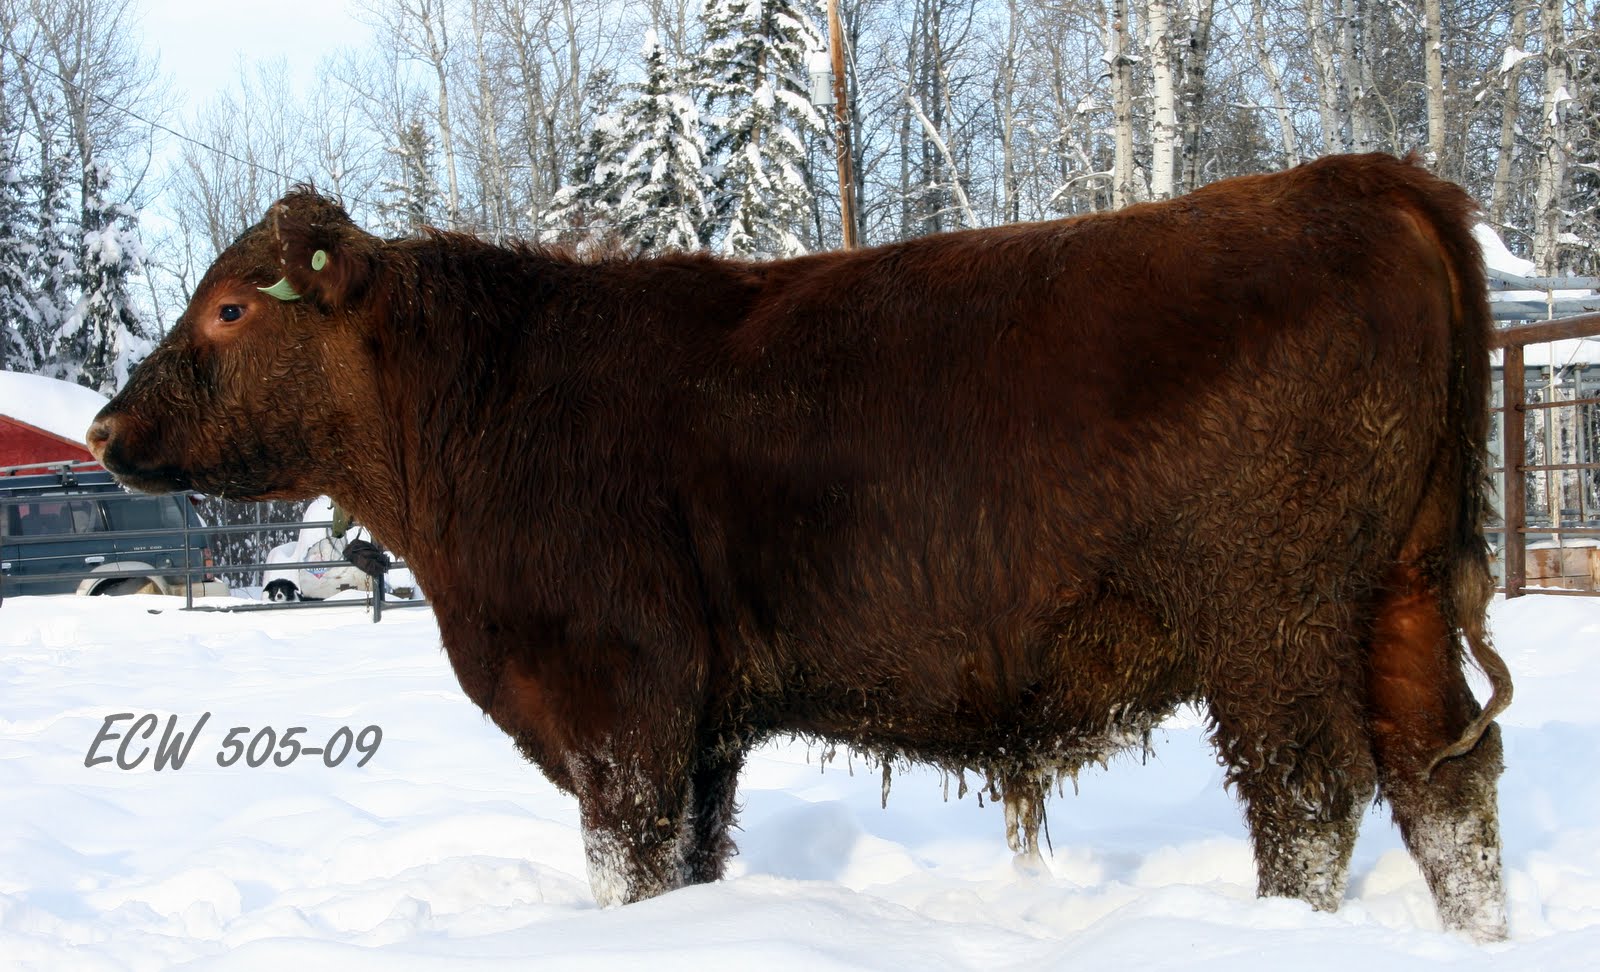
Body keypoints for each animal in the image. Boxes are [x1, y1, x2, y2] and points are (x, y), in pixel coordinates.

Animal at [89, 153, 1512, 940]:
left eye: (231, 310)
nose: (103, 426)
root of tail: (1366, 178)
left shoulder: (623, 703)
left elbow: (632, 867)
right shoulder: (701, 728)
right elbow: (694, 861)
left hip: (1268, 614)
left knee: (1310, 797)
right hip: (1395, 594)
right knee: (1444, 785)